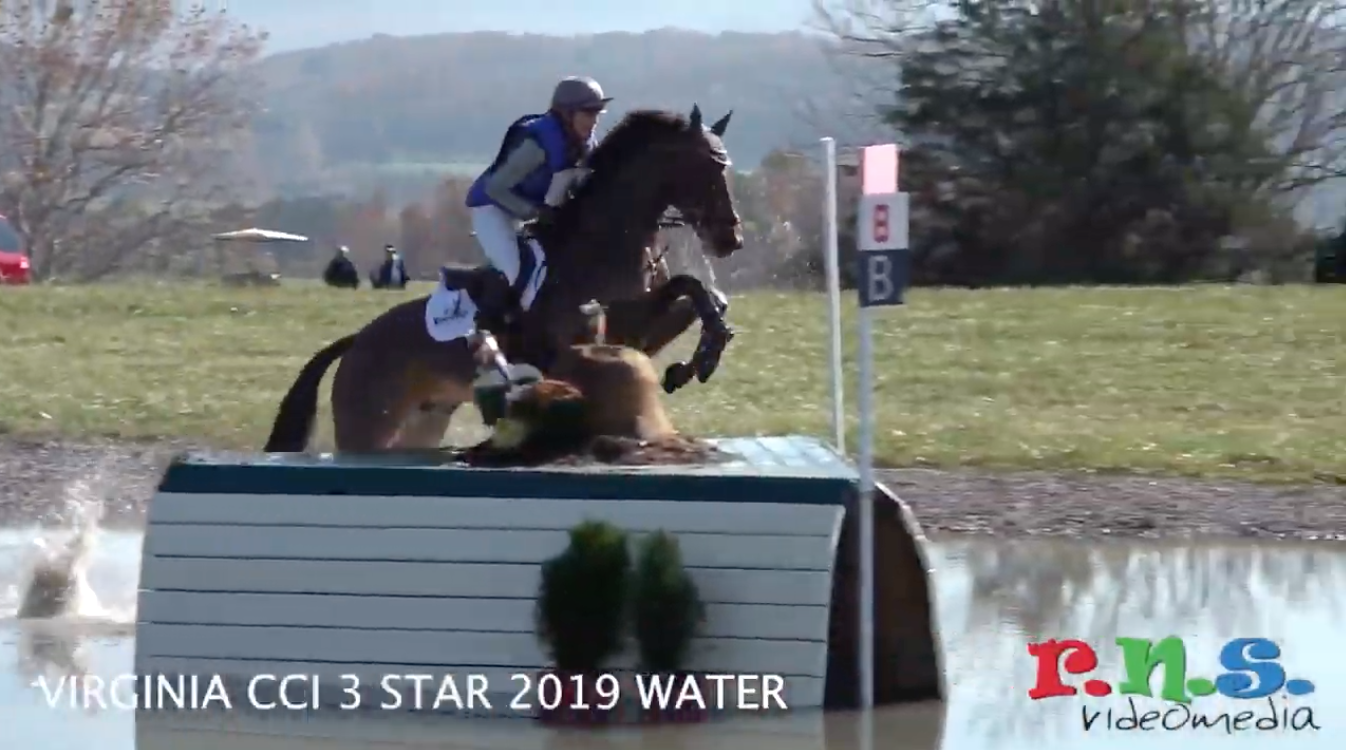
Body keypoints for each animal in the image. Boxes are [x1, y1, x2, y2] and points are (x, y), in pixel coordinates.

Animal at [263, 105, 745, 452]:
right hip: (369, 424)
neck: (610, 240)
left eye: (724, 167)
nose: (731, 239)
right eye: (704, 168)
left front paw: (698, 360)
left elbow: (696, 292)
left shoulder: (638, 326)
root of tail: (356, 342)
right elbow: (692, 288)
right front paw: (700, 358)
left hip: (424, 421)